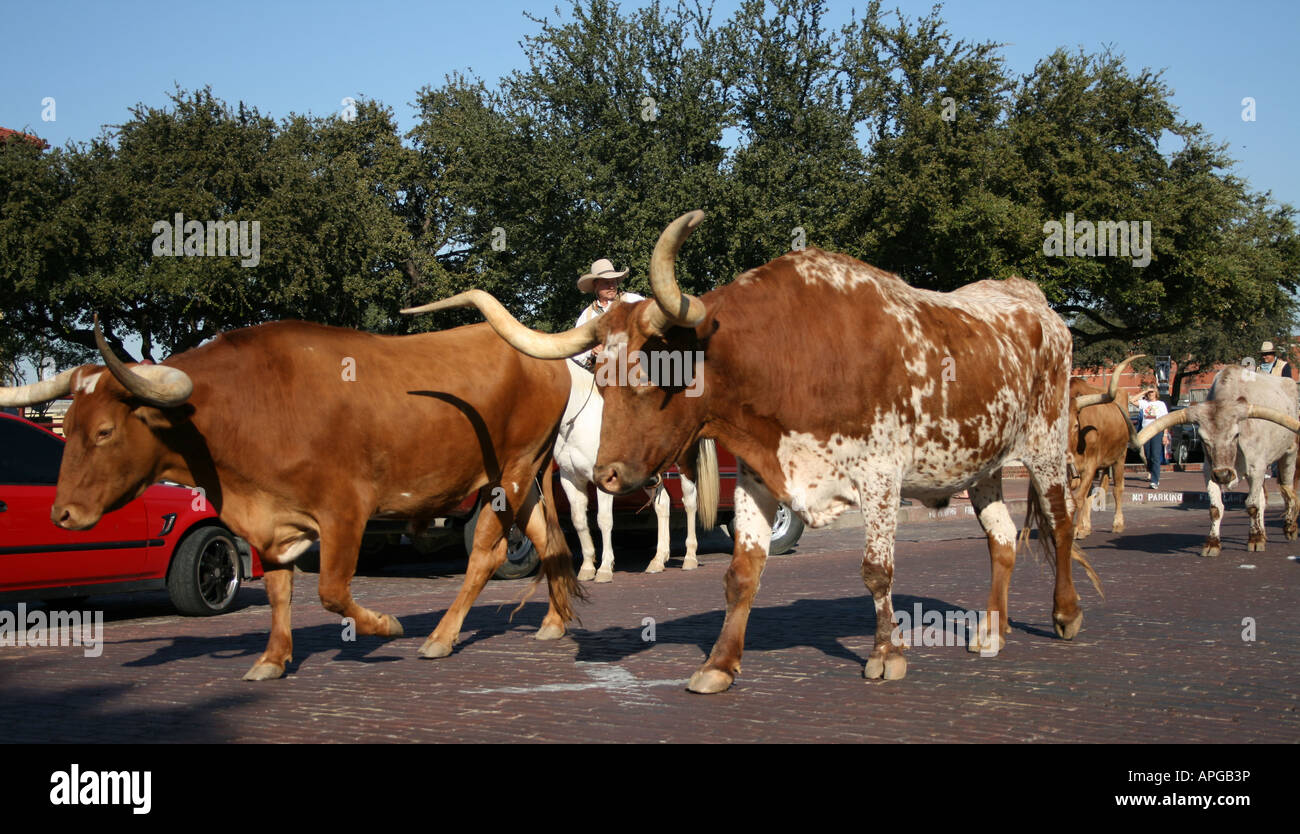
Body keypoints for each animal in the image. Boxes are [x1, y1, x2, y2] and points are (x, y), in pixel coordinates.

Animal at [0, 318, 583, 680]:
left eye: (104, 432)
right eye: (70, 425)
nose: (63, 513)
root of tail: (543, 358)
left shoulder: (345, 510)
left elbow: (330, 591)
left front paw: (384, 624)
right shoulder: (271, 522)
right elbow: (280, 592)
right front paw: (273, 659)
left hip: (507, 474)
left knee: (485, 554)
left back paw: (440, 635)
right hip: (521, 477)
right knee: (545, 538)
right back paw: (553, 623)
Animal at [555, 359, 718, 581]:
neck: (578, 422)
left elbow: (604, 520)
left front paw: (604, 569)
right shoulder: (569, 477)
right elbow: (579, 520)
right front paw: (587, 568)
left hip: (685, 464)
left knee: (690, 503)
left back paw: (690, 557)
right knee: (662, 504)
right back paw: (657, 560)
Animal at [1068, 355, 1143, 539]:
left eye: (1075, 425)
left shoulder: (1090, 464)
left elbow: (1079, 498)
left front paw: (1074, 530)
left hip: (1120, 457)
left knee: (1117, 489)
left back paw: (1117, 523)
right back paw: (1086, 528)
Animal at [1135, 364, 1300, 557]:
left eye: (1236, 434)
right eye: (1203, 439)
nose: (1223, 475)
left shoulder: (1256, 468)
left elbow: (1252, 505)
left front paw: (1254, 540)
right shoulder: (1209, 471)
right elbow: (1216, 508)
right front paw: (1212, 543)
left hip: (1289, 453)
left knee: (1288, 491)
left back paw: (1289, 527)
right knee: (1263, 499)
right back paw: (1263, 533)